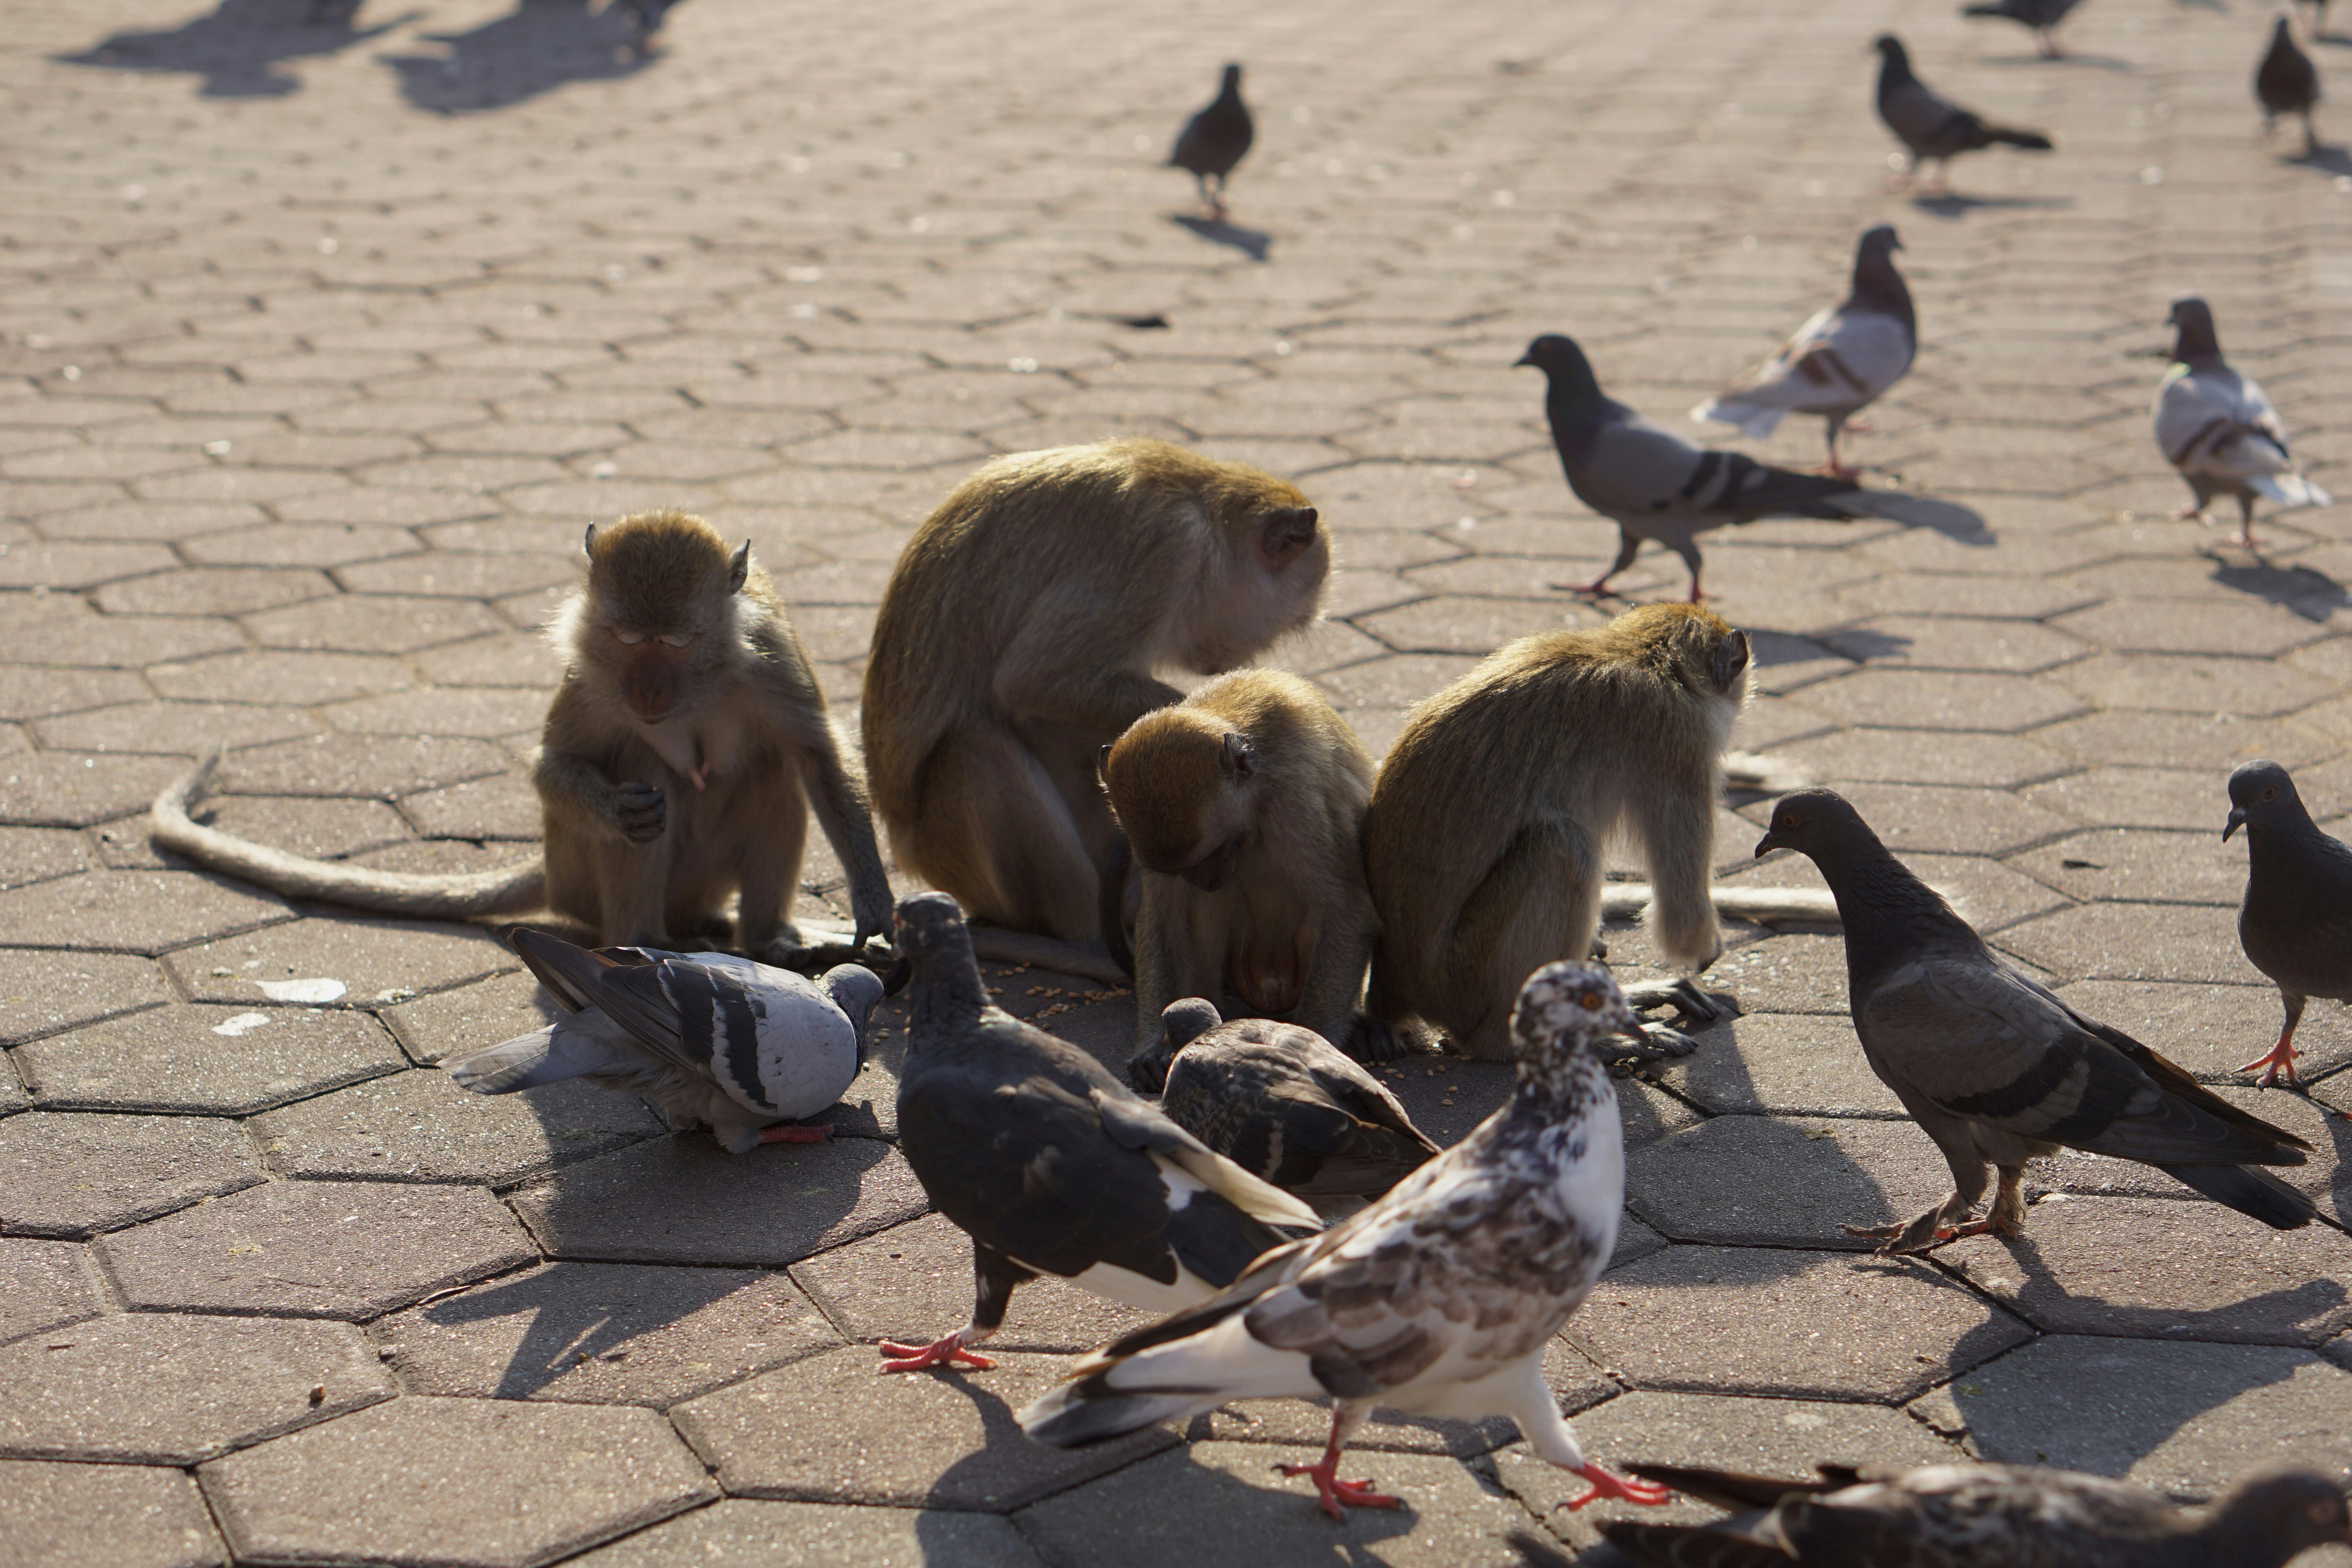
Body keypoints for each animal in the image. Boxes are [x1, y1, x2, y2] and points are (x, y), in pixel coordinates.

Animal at [152, 509, 894, 966]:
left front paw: (875, 904)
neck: (699, 683)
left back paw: (770, 940)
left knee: (771, 769)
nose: (647, 695)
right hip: (580, 875)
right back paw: (645, 940)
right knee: (646, 773)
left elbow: (817, 755)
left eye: (678, 642)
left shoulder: (771, 653)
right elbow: (557, 764)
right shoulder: (593, 674)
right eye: (628, 640)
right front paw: (613, 804)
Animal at [861, 437, 1328, 972]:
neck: (1206, 509)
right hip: (951, 857)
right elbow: (1031, 680)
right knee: (976, 749)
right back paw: (1093, 939)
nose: (1237, 660)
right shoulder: (1166, 553)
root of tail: (908, 851)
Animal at [1100, 669, 1381, 1058]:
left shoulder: (1296, 801)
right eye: (1182, 870)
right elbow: (1164, 917)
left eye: (1218, 851)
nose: (1205, 881)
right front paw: (1155, 1044)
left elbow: (1347, 909)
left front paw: (1312, 1040)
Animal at [1360, 602, 1755, 1063]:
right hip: (1462, 978)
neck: (1640, 653)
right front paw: (1703, 949)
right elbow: (1681, 920)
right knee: (1563, 848)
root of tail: (1390, 985)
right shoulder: (1681, 741)